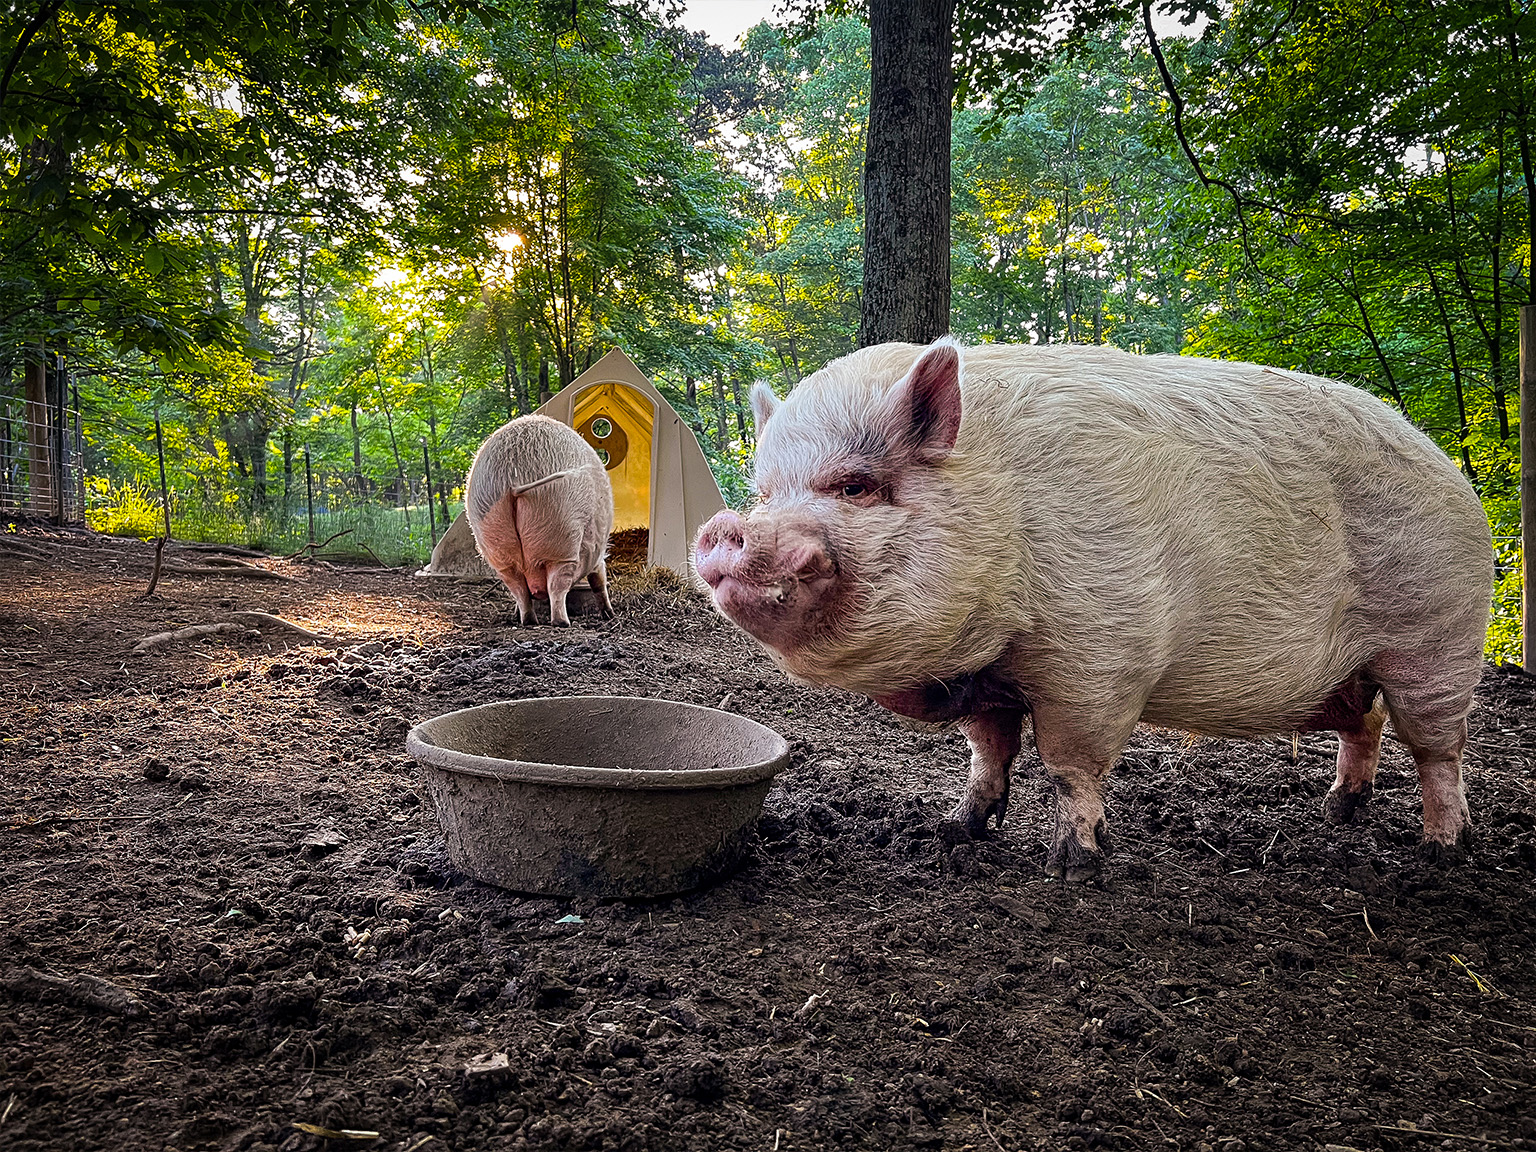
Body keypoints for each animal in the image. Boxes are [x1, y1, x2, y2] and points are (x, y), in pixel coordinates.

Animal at [465, 414, 615, 626]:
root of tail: (513, 480)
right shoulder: (598, 556)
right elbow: (599, 582)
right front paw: (610, 614)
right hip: (562, 535)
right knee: (557, 587)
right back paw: (563, 622)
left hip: (496, 544)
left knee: (519, 590)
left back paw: (528, 620)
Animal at [694, 338, 1494, 880]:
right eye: (766, 494)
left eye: (856, 487)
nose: (726, 527)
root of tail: (1450, 469)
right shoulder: (988, 679)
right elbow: (989, 752)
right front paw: (955, 831)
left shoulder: (1098, 656)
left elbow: (1068, 765)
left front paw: (1071, 863)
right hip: (1356, 674)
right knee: (1366, 724)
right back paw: (1337, 812)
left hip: (1438, 638)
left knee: (1438, 749)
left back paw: (1442, 849)